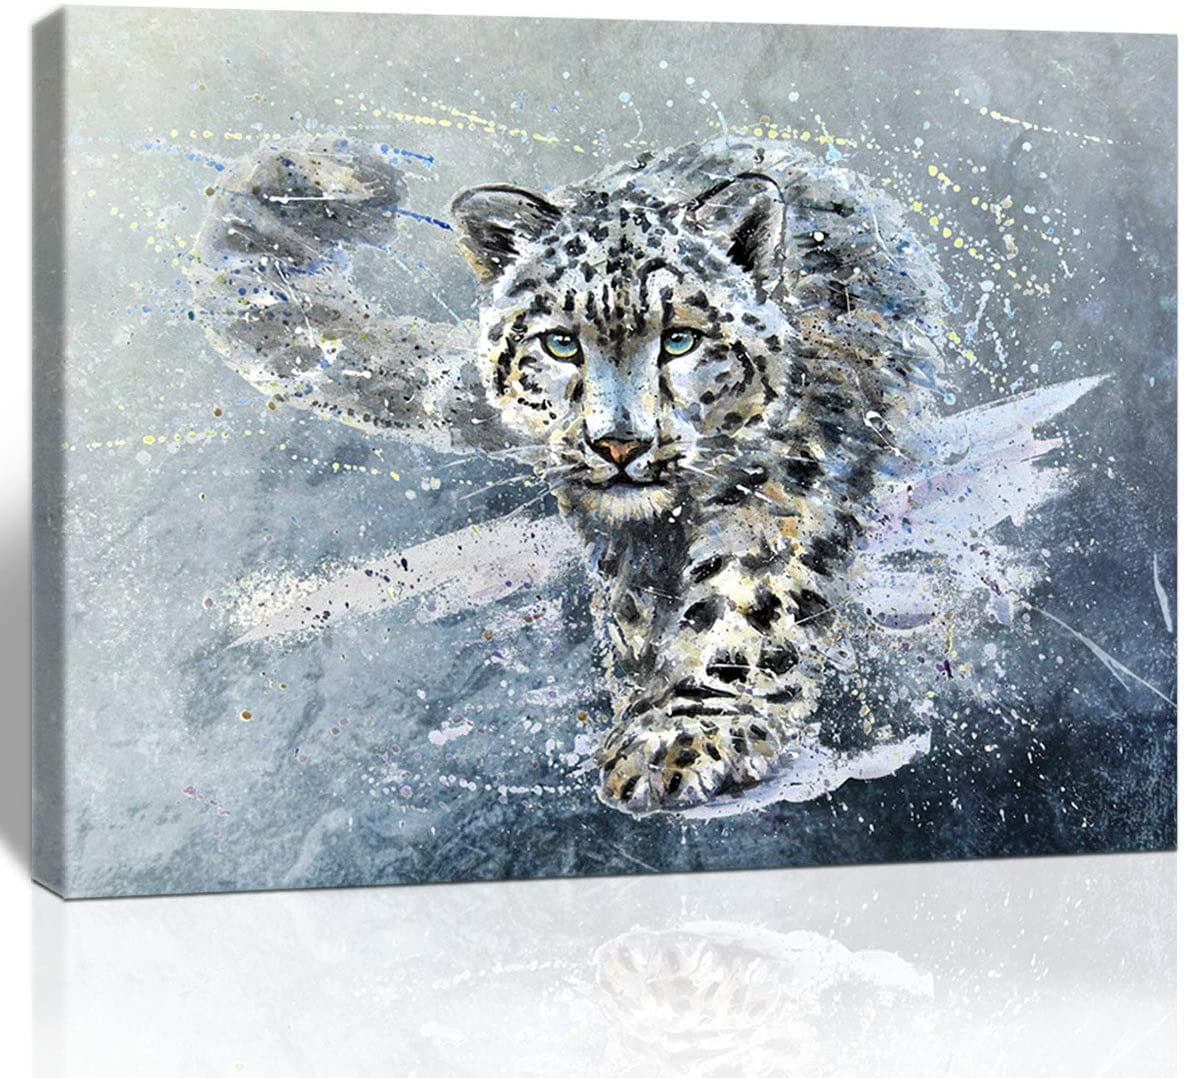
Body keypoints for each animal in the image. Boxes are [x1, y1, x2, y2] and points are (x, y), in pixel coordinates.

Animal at [191, 136, 951, 816]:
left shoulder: (777, 486)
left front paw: (686, 731)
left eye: (681, 338)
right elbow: (640, 614)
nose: (617, 444)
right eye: (559, 342)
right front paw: (646, 705)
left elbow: (742, 600)